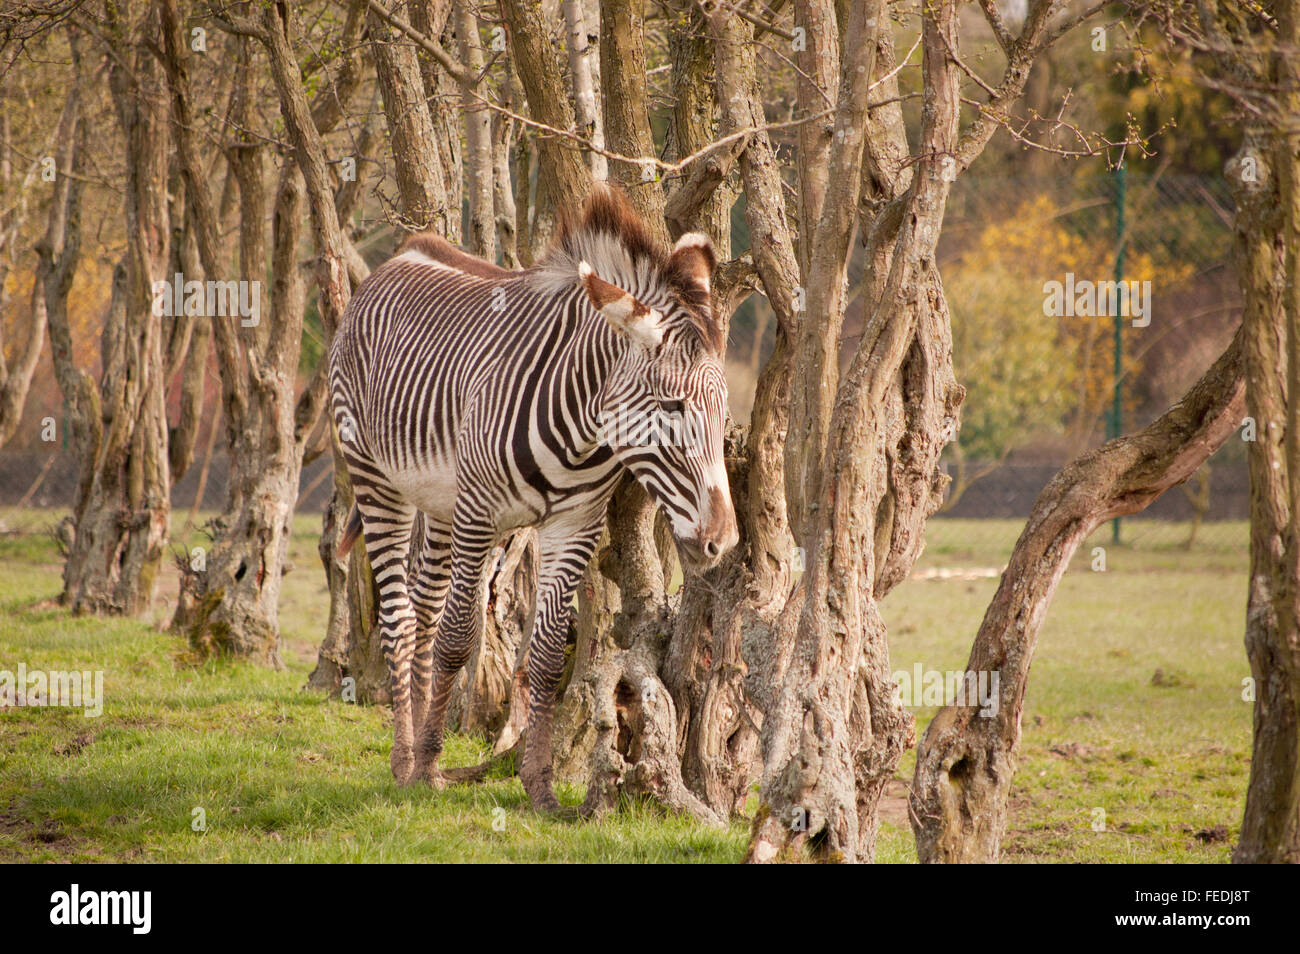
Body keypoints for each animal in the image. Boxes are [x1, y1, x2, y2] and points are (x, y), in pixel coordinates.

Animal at [329, 185, 738, 812]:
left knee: (423, 608)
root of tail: (400, 256)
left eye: (723, 413)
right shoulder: (478, 515)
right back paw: (404, 757)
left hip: (438, 501)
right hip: (377, 480)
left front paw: (540, 786)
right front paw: (429, 766)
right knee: (399, 616)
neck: (583, 430)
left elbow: (545, 656)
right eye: (672, 406)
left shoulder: (577, 526)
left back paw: (416, 737)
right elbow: (459, 639)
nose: (723, 540)